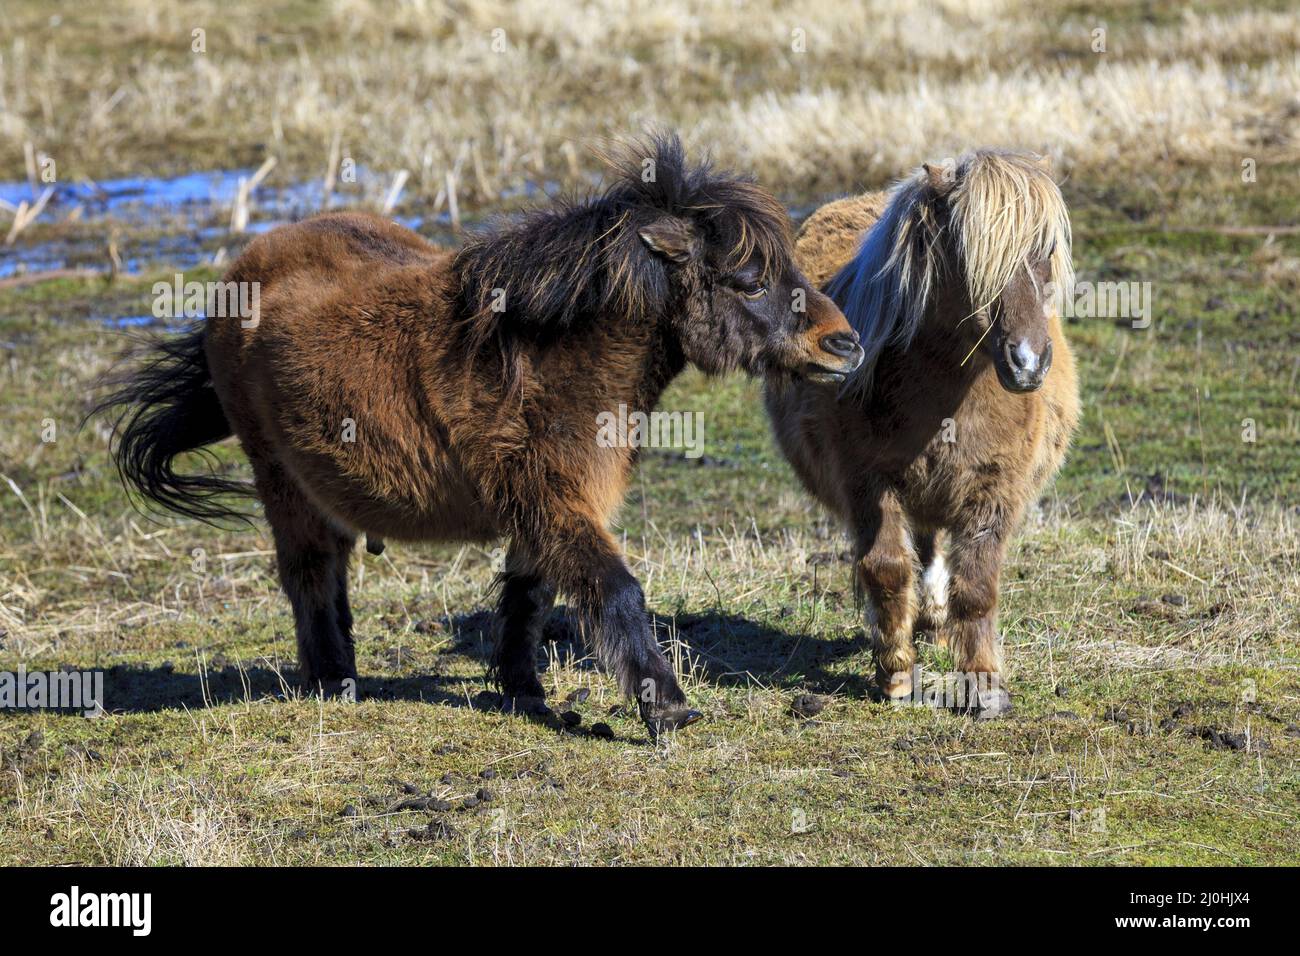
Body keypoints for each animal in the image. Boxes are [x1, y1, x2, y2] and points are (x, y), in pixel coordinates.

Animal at [97, 135, 864, 737]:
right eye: (749, 280)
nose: (845, 345)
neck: (550, 356)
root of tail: (239, 275)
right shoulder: (556, 501)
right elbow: (615, 589)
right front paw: (668, 708)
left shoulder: (544, 510)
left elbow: (529, 597)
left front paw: (524, 692)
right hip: (280, 482)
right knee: (309, 574)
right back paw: (334, 684)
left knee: (329, 572)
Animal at [766, 148, 1080, 715]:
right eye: (969, 256)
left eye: (1044, 249)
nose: (1027, 362)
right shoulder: (867, 481)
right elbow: (887, 567)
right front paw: (896, 676)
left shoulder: (994, 488)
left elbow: (976, 586)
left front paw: (983, 684)